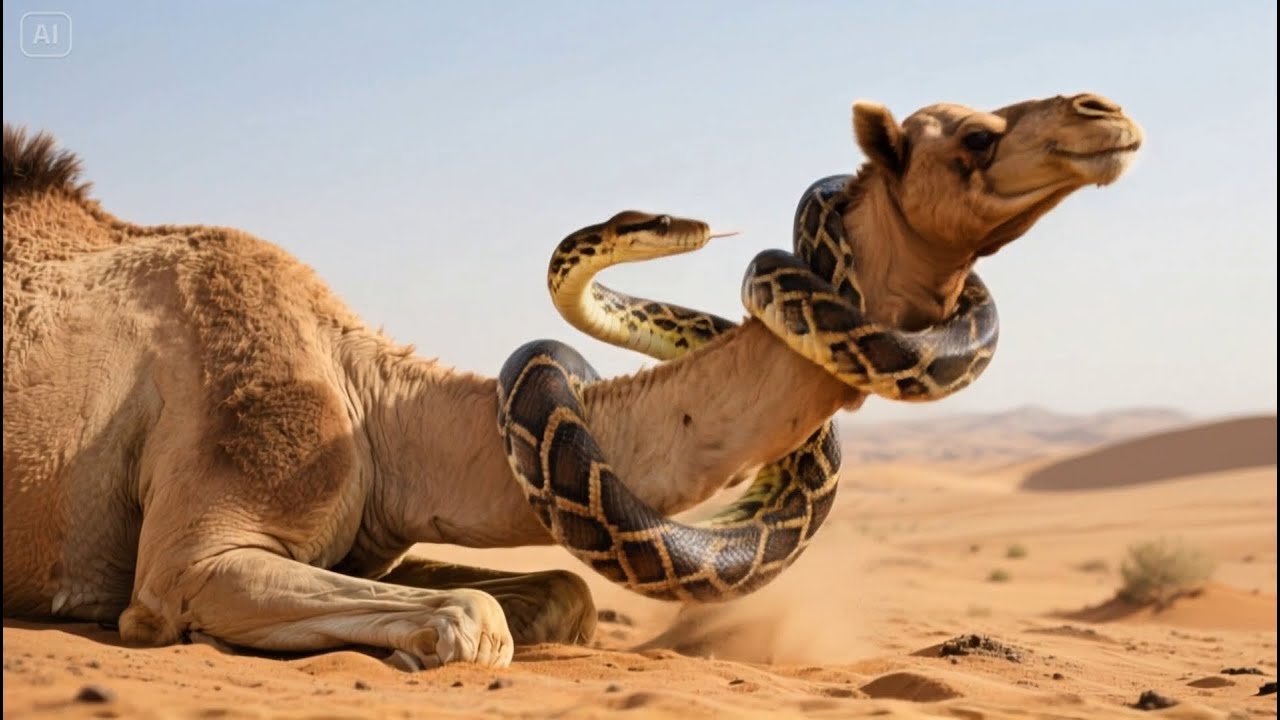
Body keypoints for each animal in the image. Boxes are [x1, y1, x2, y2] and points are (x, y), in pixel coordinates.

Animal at [2, 92, 1142, 669]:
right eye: (974, 135)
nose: (1105, 113)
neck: (372, 406)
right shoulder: (197, 552)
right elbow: (475, 619)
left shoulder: (381, 532)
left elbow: (560, 593)